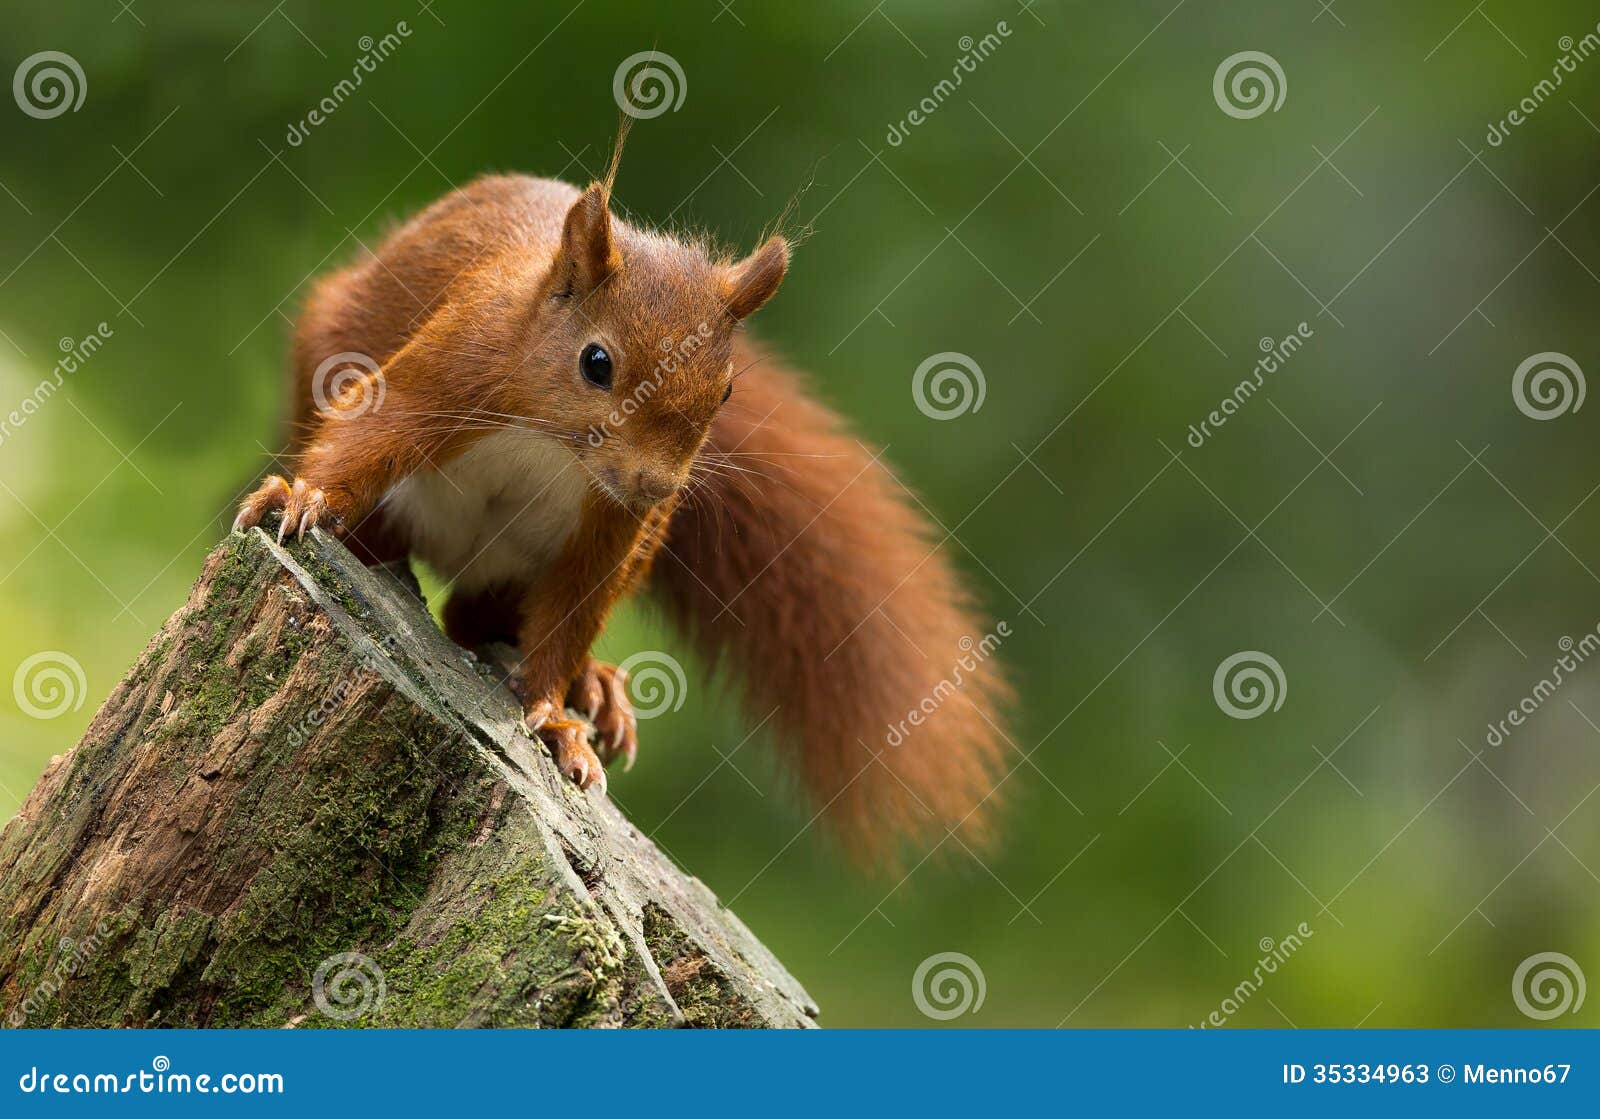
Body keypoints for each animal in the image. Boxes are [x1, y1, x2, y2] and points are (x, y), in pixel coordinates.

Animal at [233, 141, 1014, 858]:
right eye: (597, 362)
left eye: (725, 390)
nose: (656, 483)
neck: (554, 441)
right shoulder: (454, 363)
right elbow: (371, 433)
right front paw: (300, 497)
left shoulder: (613, 524)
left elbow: (573, 610)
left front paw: (555, 719)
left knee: (477, 618)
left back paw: (594, 684)